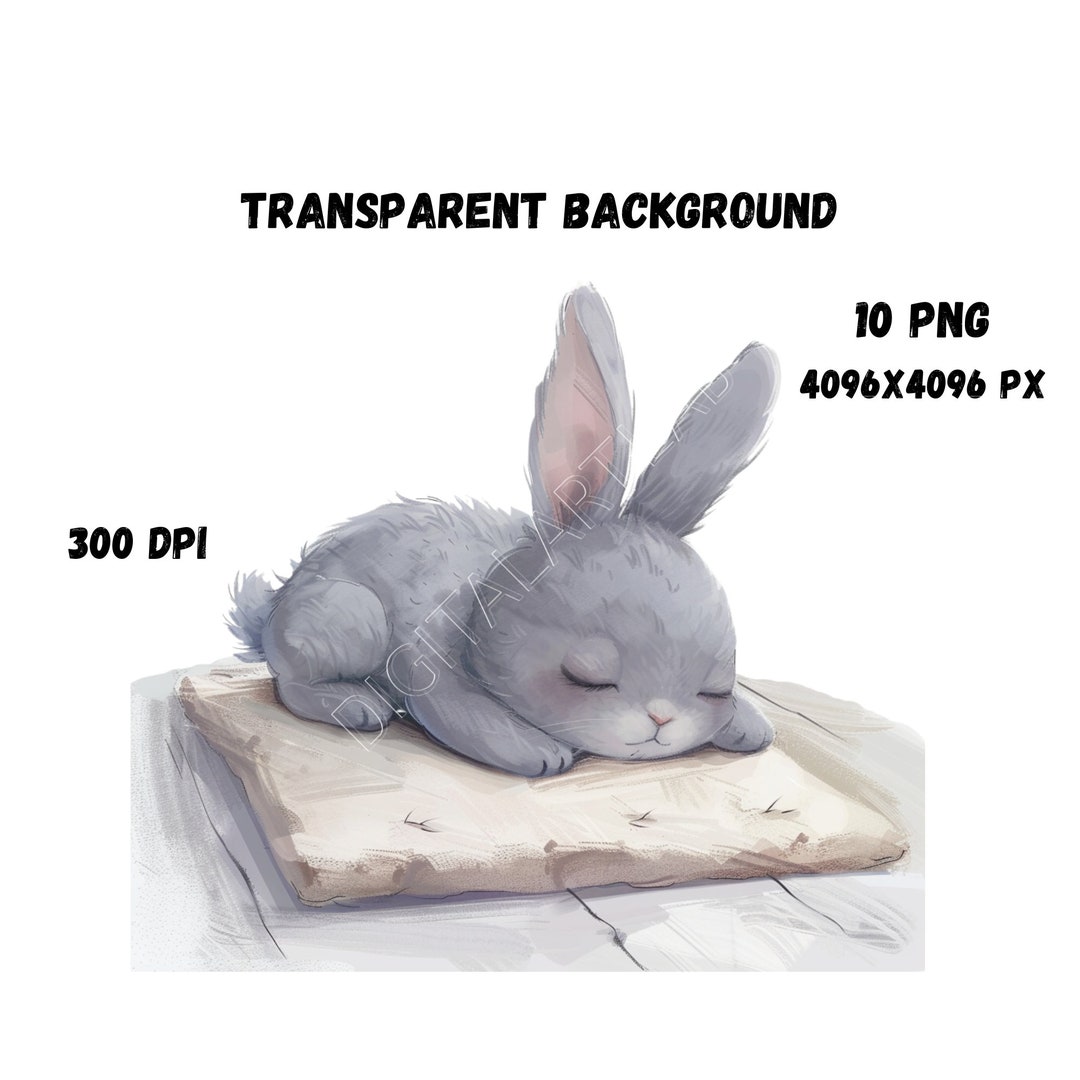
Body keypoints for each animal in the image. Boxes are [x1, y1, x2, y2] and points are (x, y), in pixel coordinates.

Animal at [227, 285, 780, 777]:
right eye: (586, 677)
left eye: (715, 688)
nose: (662, 718)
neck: (486, 594)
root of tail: (276, 603)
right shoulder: (426, 657)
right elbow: (463, 713)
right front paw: (536, 751)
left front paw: (751, 725)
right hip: (348, 617)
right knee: (290, 682)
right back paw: (354, 704)